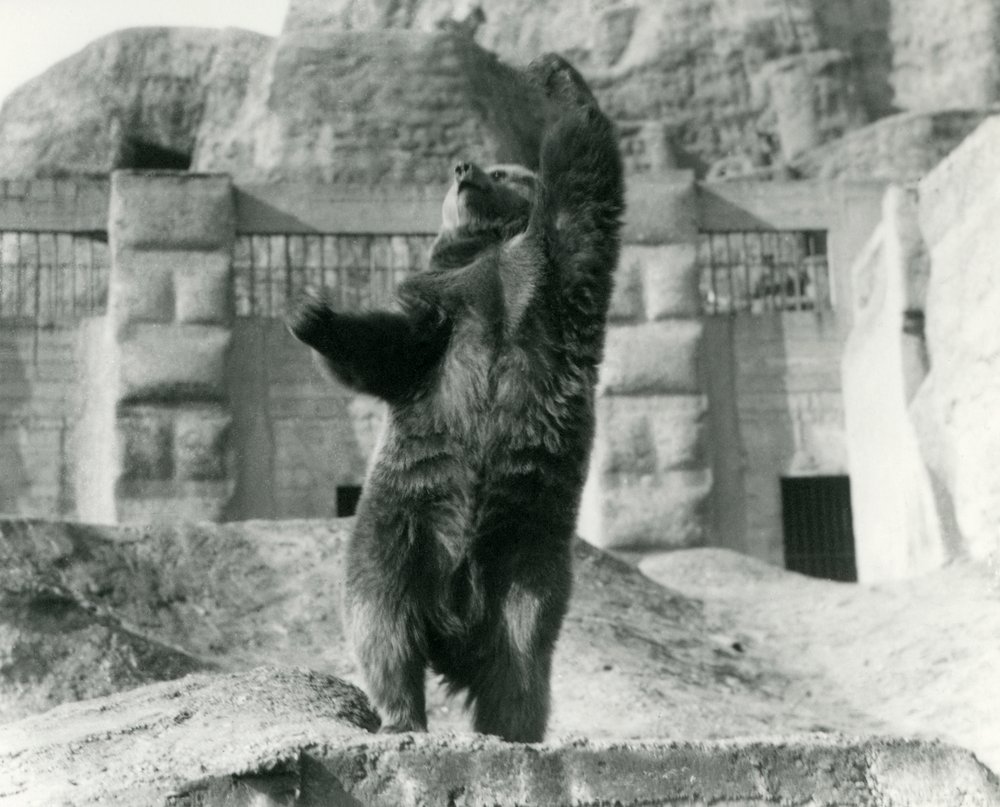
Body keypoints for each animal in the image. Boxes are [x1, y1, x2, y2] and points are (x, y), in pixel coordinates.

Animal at [289, 54, 624, 743]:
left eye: (503, 169)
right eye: (467, 172)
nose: (464, 167)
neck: (491, 250)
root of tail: (455, 617)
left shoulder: (552, 272)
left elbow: (584, 178)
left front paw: (553, 73)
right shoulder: (440, 307)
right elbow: (388, 348)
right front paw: (312, 313)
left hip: (528, 552)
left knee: (522, 650)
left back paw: (508, 727)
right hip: (399, 525)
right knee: (382, 620)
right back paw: (400, 716)